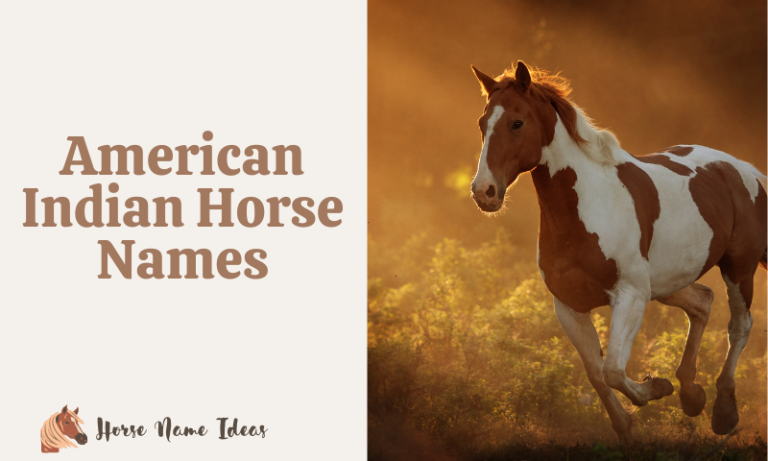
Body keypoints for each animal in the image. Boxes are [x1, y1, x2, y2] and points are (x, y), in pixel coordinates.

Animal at [468, 60, 766, 440]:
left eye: (517, 122)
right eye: (482, 123)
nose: (484, 192)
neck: (587, 208)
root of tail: (744, 170)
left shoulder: (630, 295)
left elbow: (611, 369)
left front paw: (657, 387)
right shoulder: (569, 305)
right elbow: (596, 372)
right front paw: (626, 426)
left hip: (738, 269)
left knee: (739, 325)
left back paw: (723, 413)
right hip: (667, 283)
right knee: (702, 301)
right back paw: (691, 395)